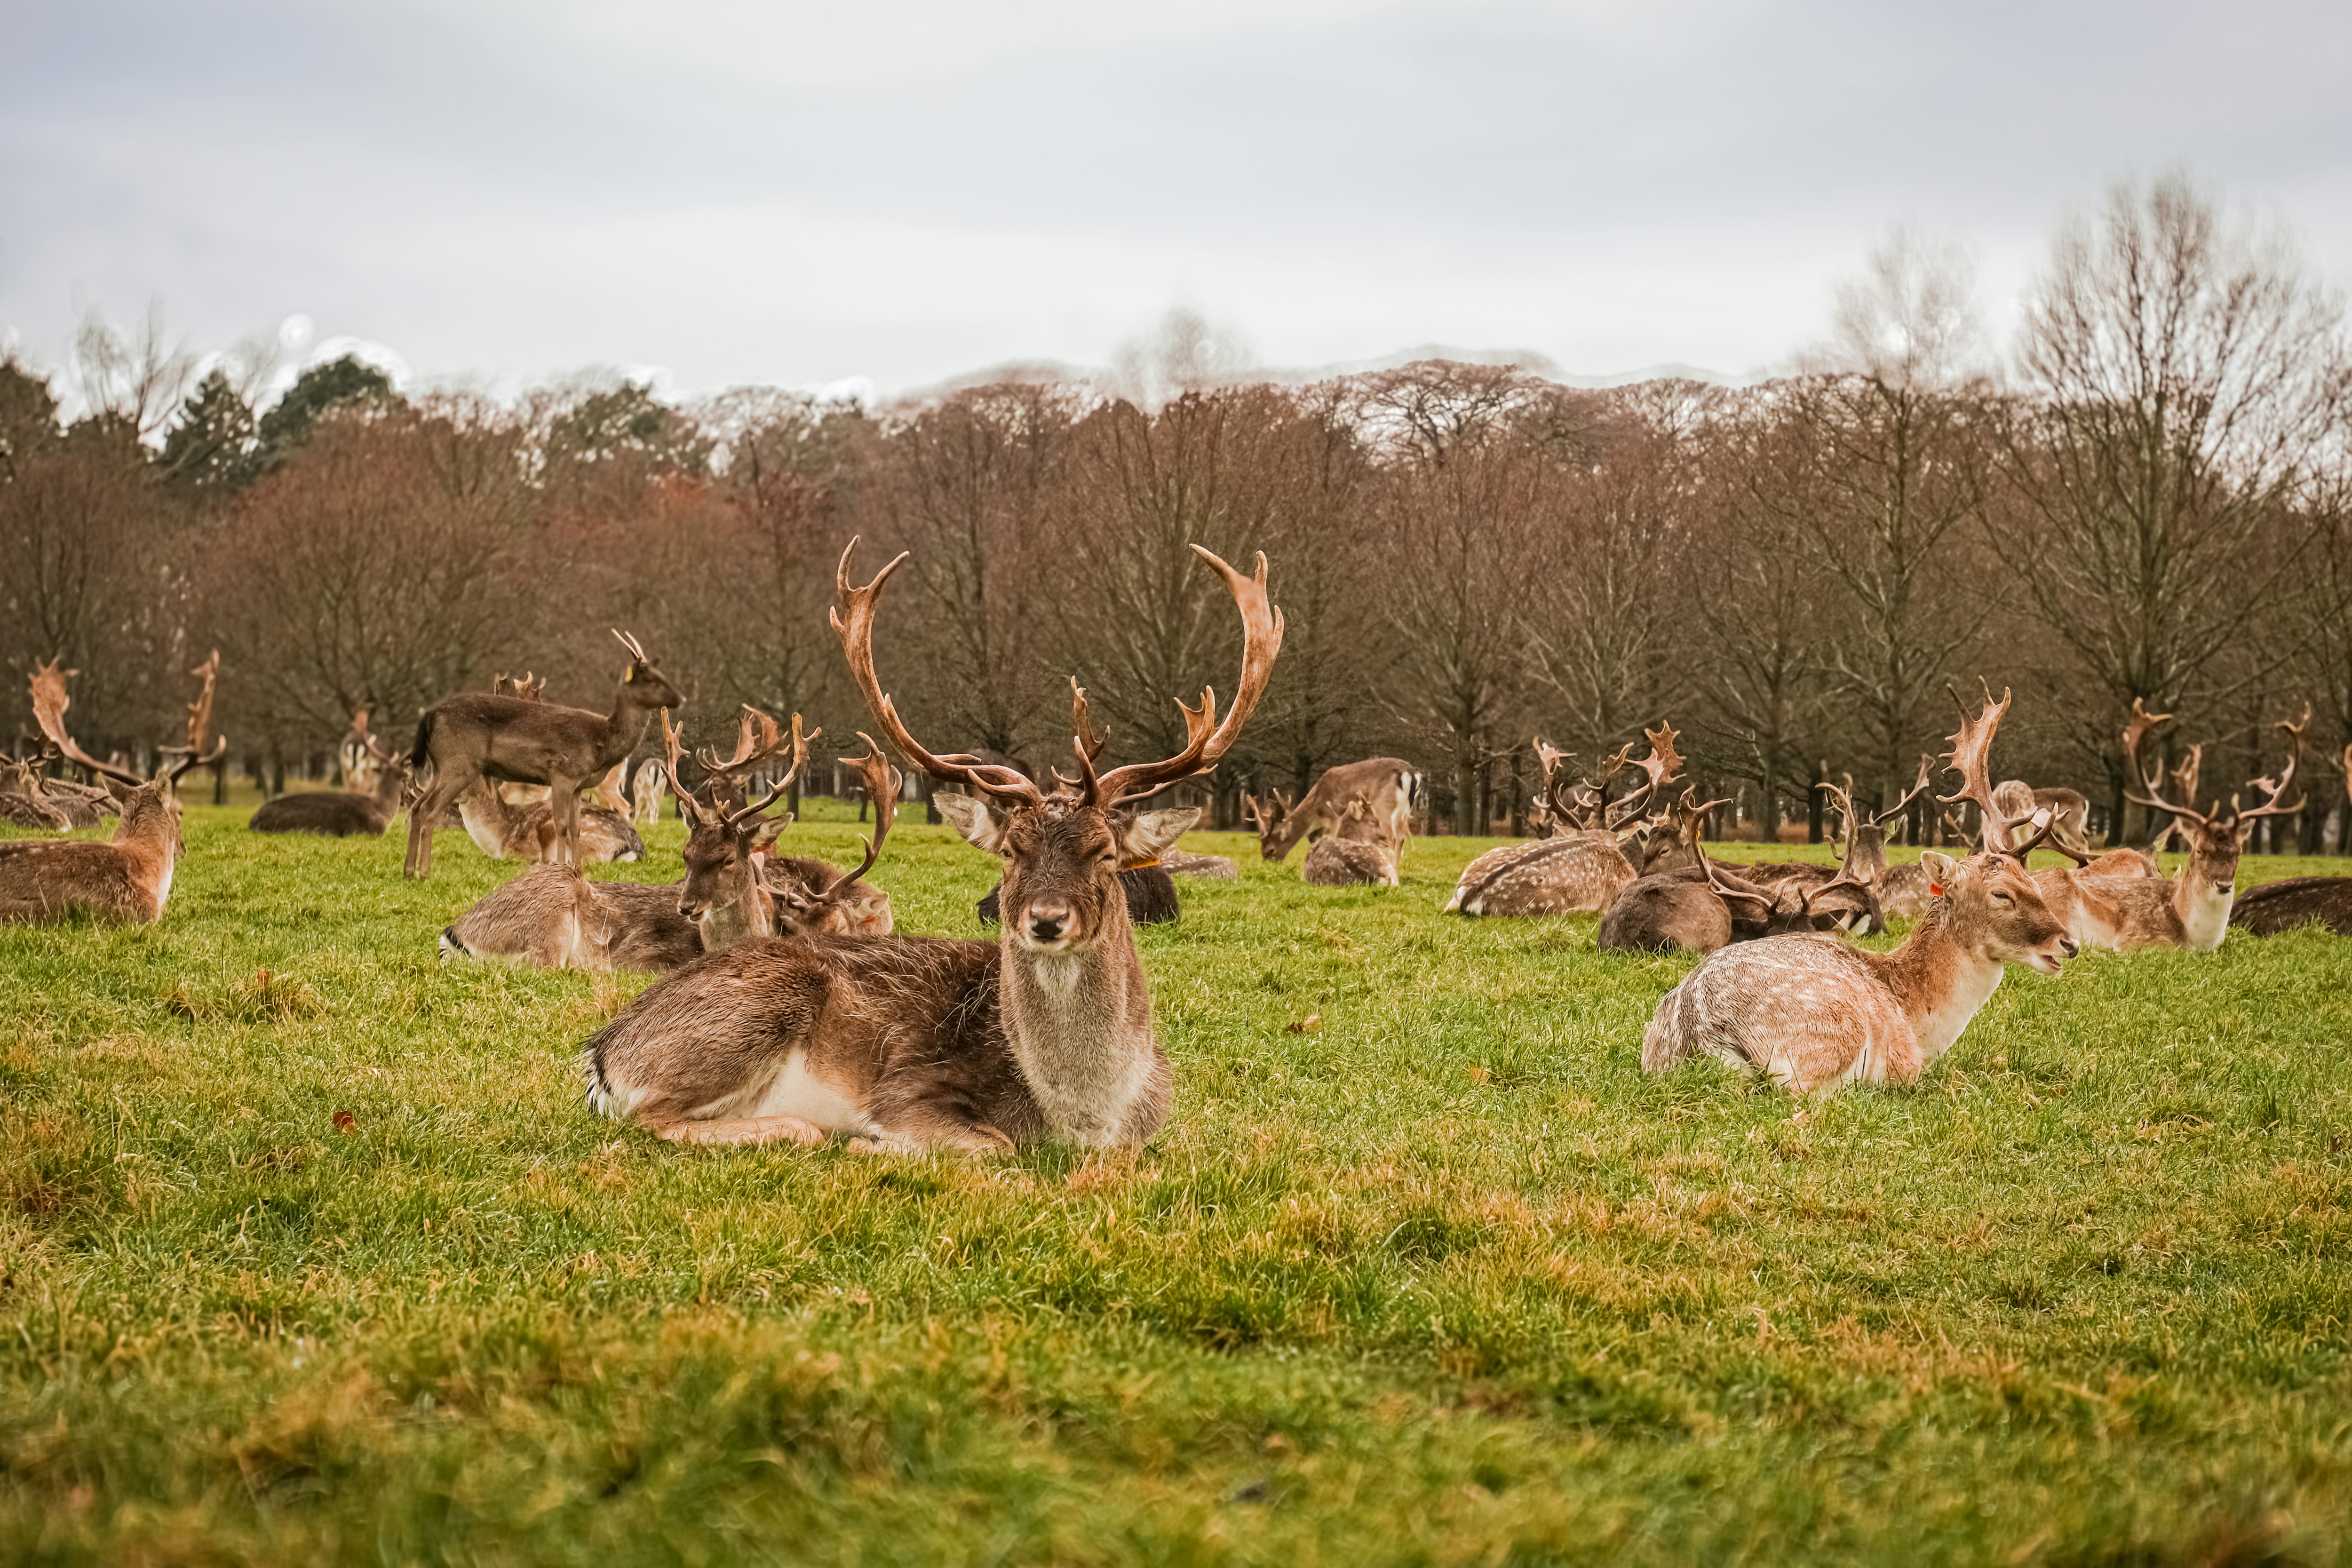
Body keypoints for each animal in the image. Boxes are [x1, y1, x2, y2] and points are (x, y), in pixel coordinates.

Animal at [403, 632, 683, 878]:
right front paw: (561, 869)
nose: (680, 697)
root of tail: (430, 716)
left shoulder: (579, 786)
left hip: (441, 767)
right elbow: (561, 825)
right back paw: (425, 872)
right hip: (459, 763)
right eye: (651, 680)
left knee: (417, 806)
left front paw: (578, 869)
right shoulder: (562, 772)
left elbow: (576, 828)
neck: (602, 743)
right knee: (429, 809)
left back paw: (408, 872)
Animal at [576, 537, 1281, 1152]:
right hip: (752, 1012)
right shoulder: (910, 1087)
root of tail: (603, 1053)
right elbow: (991, 1145)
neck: (1088, 1117)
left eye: (1105, 852)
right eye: (1010, 851)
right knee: (651, 1119)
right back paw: (807, 1132)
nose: (1046, 919)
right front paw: (873, 1145)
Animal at [1244, 756, 1421, 870]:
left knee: (1394, 839)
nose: (1268, 865)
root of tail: (1411, 774)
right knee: (1402, 838)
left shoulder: (1334, 817)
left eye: (1271, 851)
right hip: (1403, 811)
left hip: (1384, 806)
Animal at [1640, 690, 2079, 1095]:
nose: (2070, 943)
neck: (1914, 1012)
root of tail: (1699, 1037)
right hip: (1833, 1034)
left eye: (2035, 884)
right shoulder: (1906, 1061)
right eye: (2002, 894)